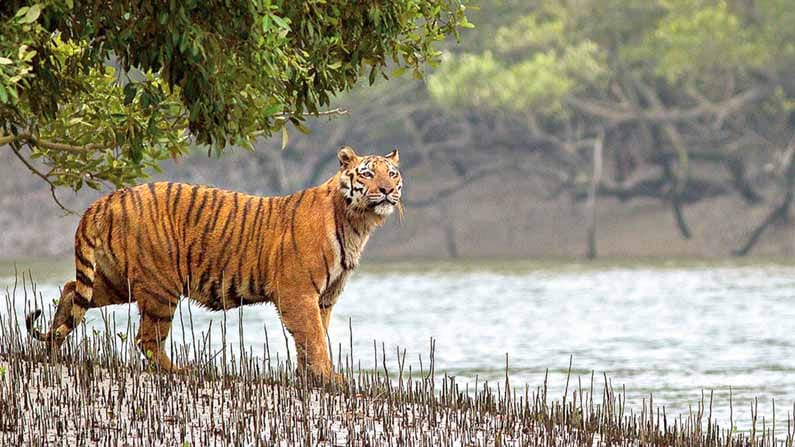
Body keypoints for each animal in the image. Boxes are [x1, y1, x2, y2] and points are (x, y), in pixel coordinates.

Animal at [26, 145, 402, 381]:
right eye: (367, 174)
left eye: (393, 174)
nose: (387, 190)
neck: (357, 223)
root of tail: (107, 199)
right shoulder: (298, 293)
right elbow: (313, 337)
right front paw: (329, 377)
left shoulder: (324, 297)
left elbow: (313, 337)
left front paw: (310, 376)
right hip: (160, 287)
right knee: (147, 339)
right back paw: (180, 371)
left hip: (116, 280)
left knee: (71, 290)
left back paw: (53, 350)